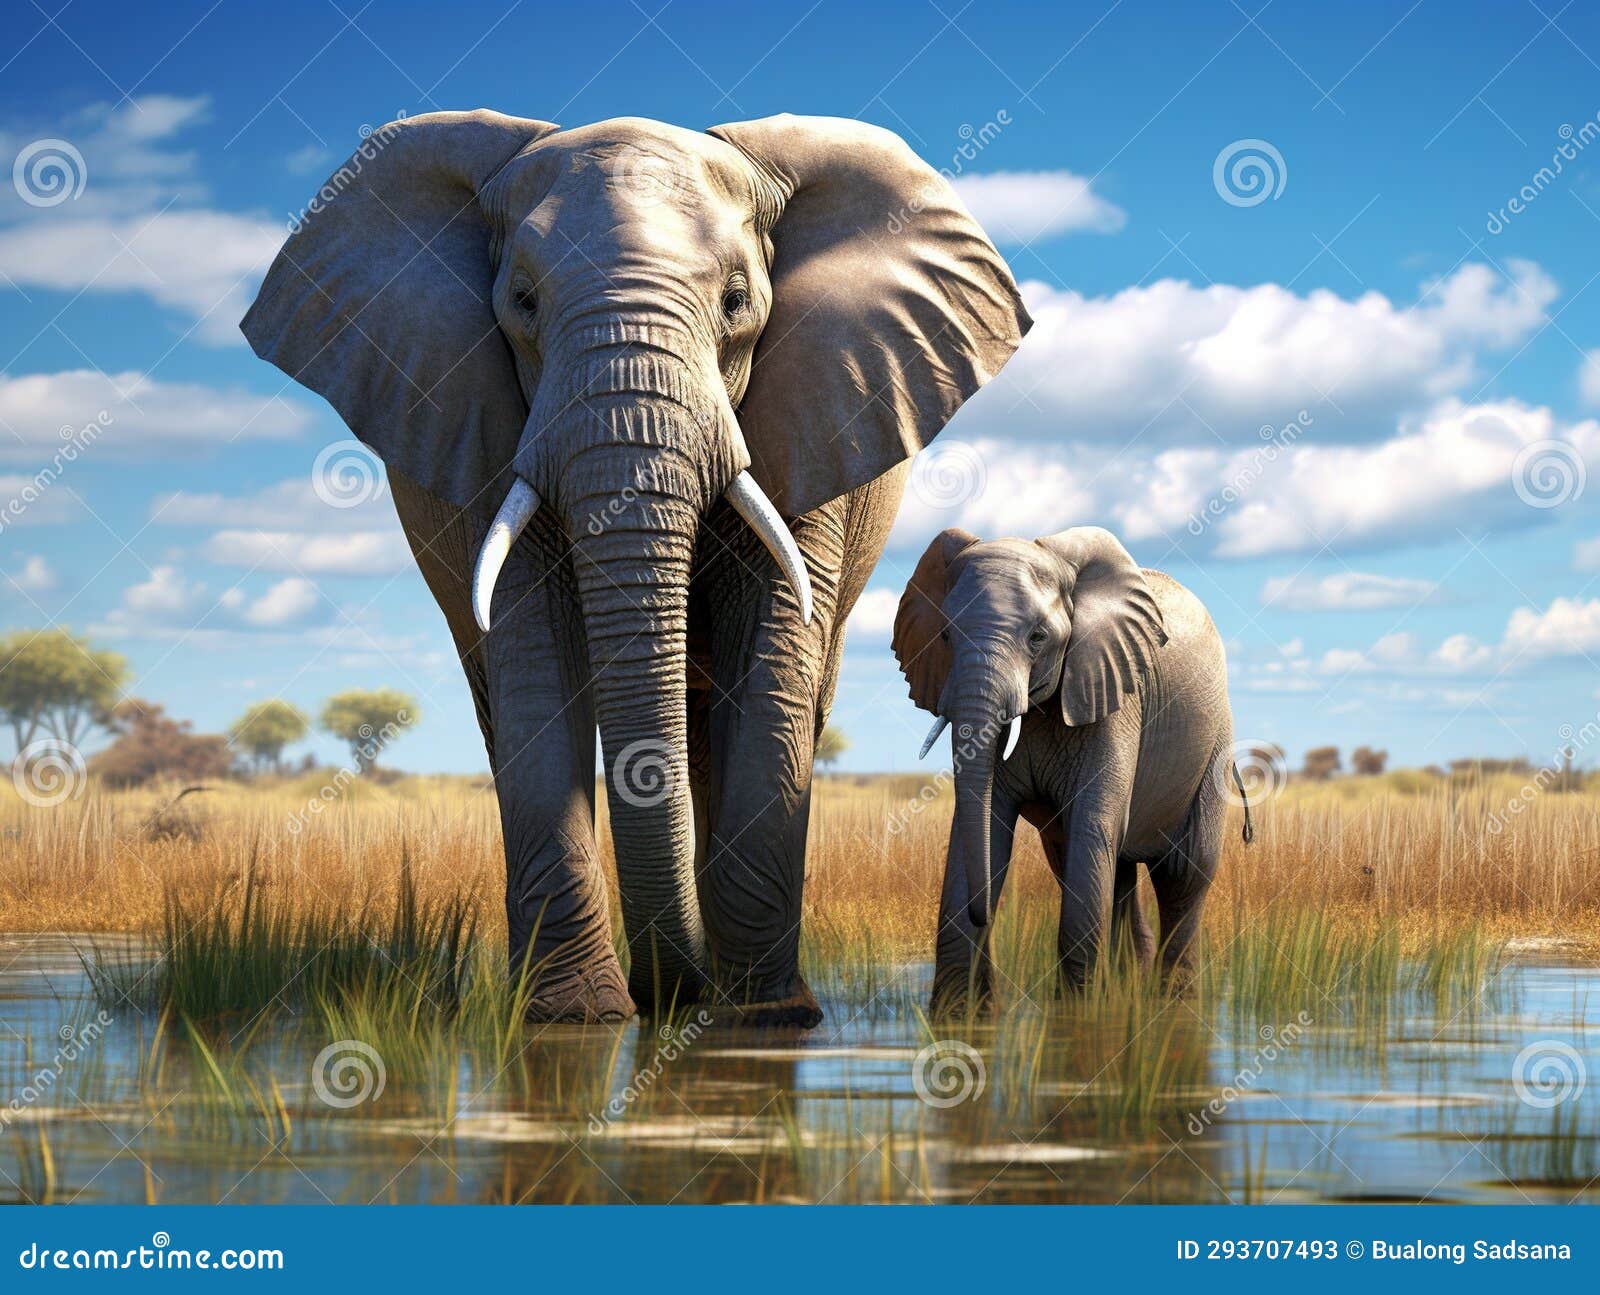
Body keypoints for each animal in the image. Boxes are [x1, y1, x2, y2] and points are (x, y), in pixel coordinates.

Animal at [241, 111, 1029, 1025]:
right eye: (522, 303)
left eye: (736, 301)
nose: (668, 998)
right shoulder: (486, 423)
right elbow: (534, 655)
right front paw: (578, 1018)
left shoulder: (818, 411)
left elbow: (772, 659)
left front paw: (762, 1018)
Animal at [890, 526, 1246, 1015]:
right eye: (945, 636)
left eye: (1038, 637)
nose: (984, 914)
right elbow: (982, 827)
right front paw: (956, 1018)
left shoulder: (1113, 692)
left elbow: (1093, 828)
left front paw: (1079, 1015)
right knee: (1110, 872)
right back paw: (1128, 986)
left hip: (1213, 745)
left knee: (1182, 876)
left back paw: (1172, 1003)